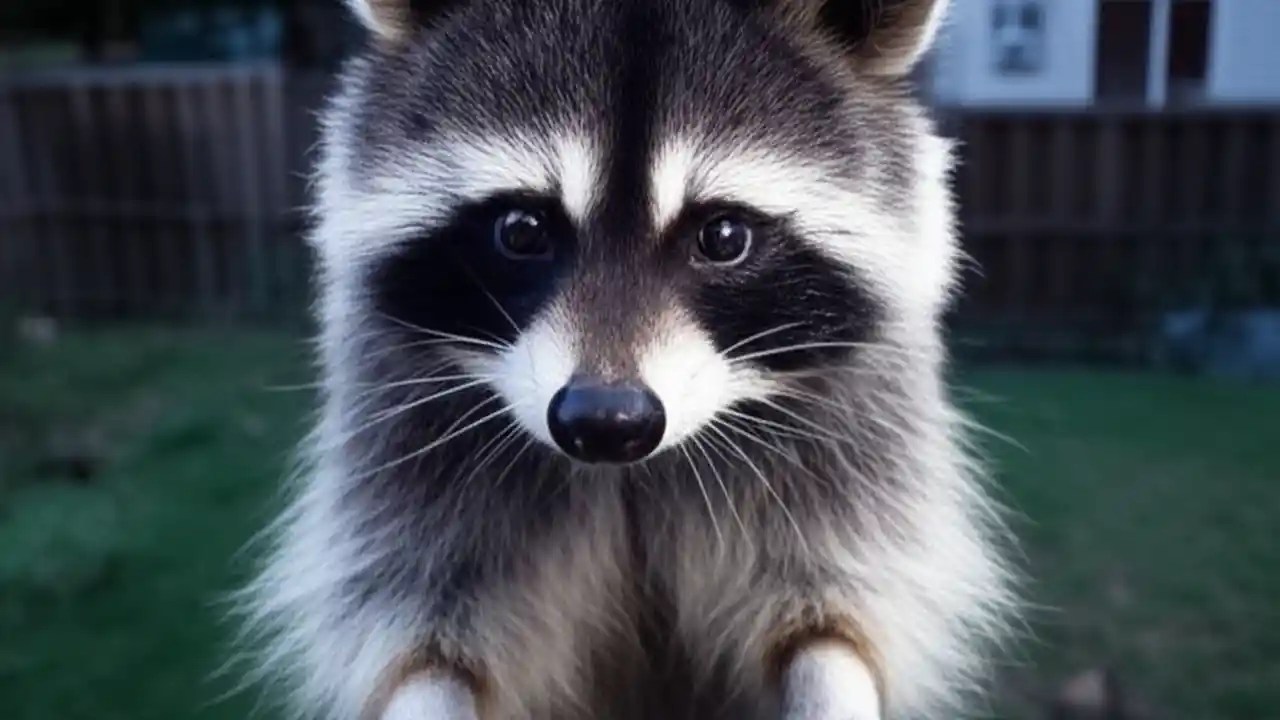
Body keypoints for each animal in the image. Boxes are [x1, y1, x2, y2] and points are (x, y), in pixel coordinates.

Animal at [244, 1, 1014, 718]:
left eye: (723, 236)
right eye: (521, 229)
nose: (605, 422)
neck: (629, 472)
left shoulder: (857, 437)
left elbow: (830, 629)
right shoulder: (402, 439)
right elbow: (425, 642)